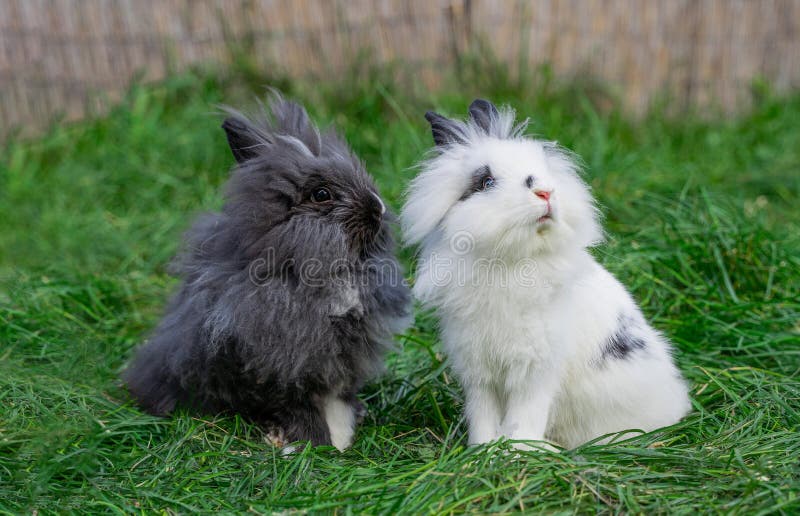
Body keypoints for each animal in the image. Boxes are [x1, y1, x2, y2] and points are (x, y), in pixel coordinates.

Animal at [123, 93, 411, 451]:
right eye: (321, 194)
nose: (378, 208)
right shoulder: (279, 362)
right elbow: (298, 404)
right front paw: (318, 441)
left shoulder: (346, 354)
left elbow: (339, 395)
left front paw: (347, 428)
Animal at [401, 99, 690, 450]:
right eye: (486, 183)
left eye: (542, 168)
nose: (546, 192)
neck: (510, 262)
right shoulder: (479, 372)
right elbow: (483, 415)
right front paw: (482, 451)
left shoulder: (536, 370)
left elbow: (525, 416)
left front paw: (518, 452)